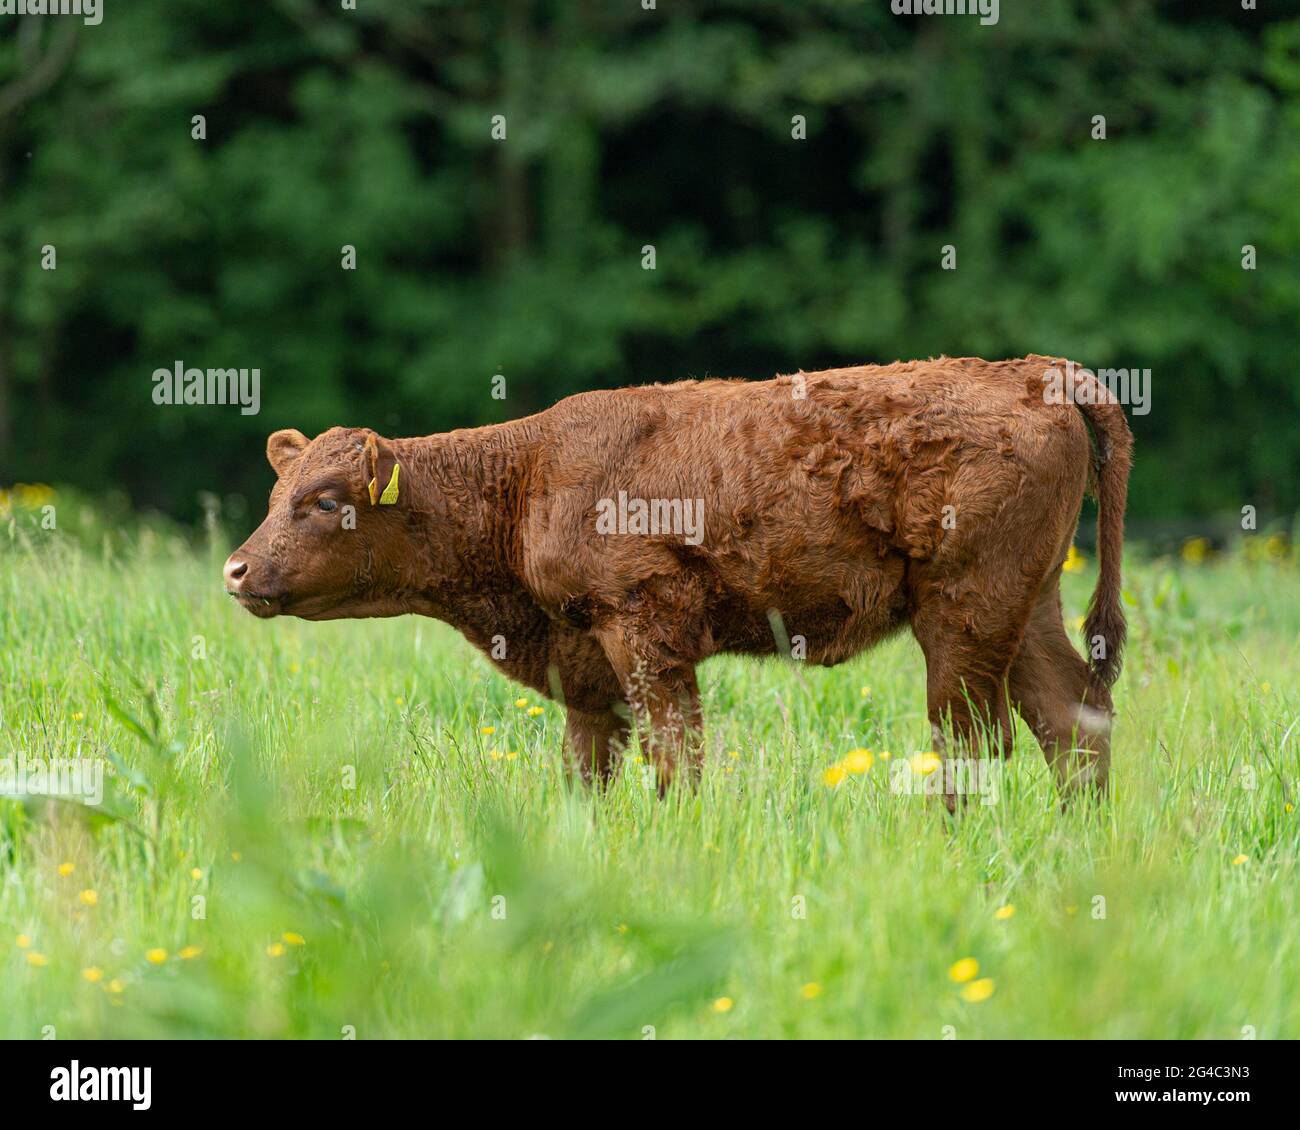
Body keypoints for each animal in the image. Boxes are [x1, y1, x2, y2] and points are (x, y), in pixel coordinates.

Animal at [224, 355, 1132, 802]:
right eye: (275, 492)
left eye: (326, 500)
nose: (236, 569)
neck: (527, 474)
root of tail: (1030, 369)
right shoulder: (589, 673)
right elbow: (586, 772)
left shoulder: (645, 634)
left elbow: (676, 759)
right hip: (1026, 607)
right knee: (1071, 724)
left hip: (963, 614)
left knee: (973, 738)